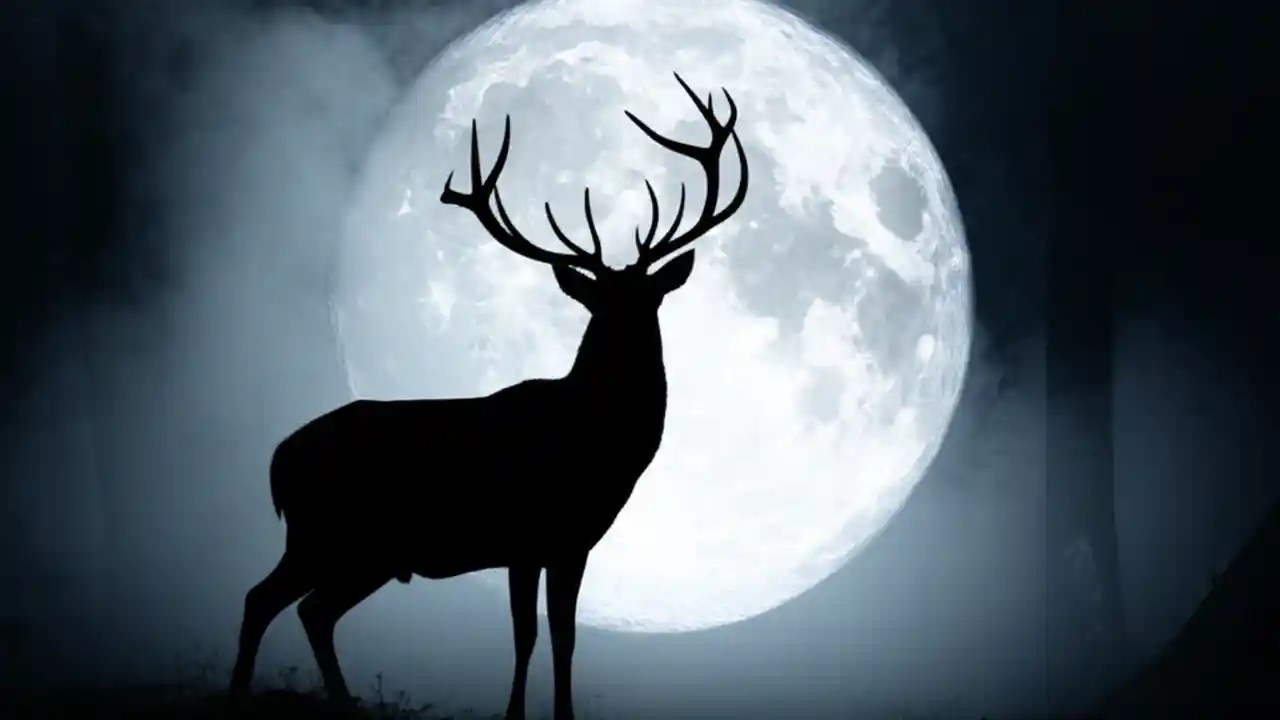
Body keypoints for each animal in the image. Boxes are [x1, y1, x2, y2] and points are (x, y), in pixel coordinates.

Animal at [228, 72, 748, 720]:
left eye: (647, 299)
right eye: (600, 305)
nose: (628, 341)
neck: (593, 444)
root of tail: (279, 461)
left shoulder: (571, 541)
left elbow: (564, 637)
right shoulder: (524, 535)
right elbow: (526, 635)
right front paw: (515, 715)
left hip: (366, 552)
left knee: (310, 609)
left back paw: (339, 702)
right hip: (328, 533)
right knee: (264, 598)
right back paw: (243, 695)